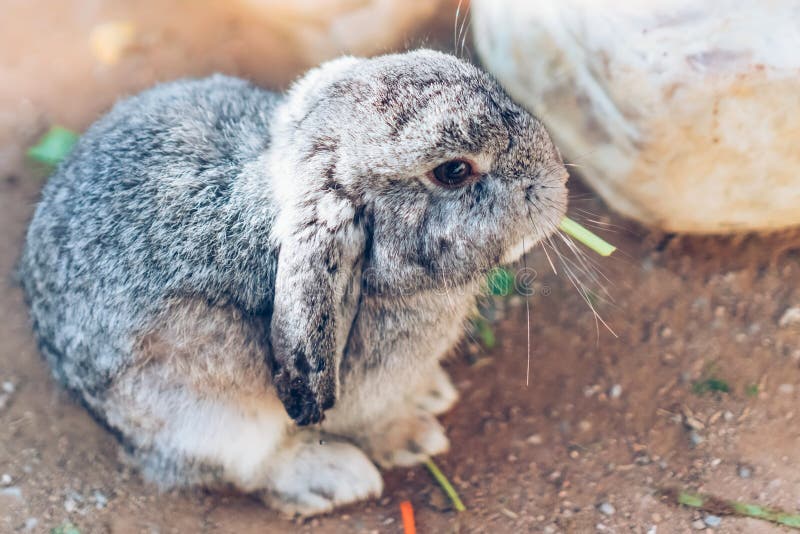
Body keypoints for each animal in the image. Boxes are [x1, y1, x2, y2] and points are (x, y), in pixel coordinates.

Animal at [18, 49, 568, 516]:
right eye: (454, 170)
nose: (558, 185)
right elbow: (376, 424)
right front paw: (414, 439)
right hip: (204, 412)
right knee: (240, 465)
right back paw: (332, 477)